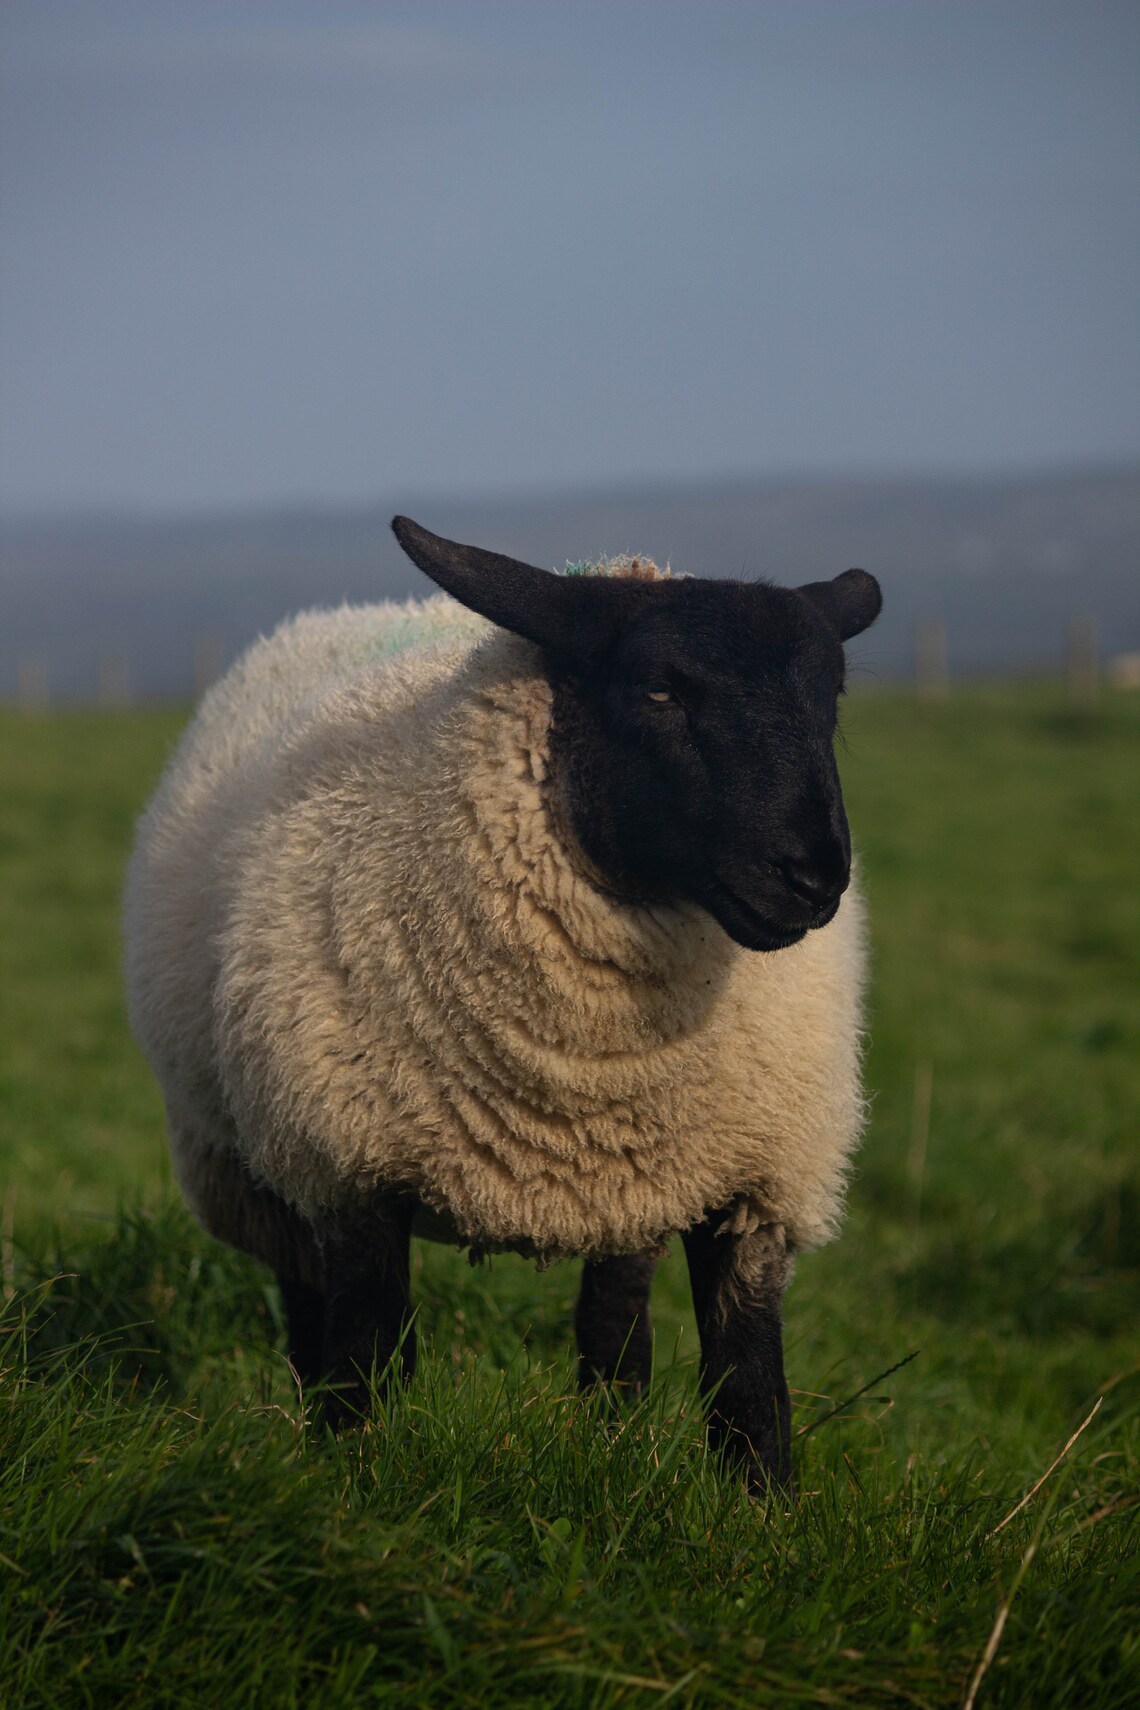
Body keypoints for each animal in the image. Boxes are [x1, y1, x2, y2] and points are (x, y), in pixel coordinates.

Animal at [124, 516, 882, 1489]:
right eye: (659, 689)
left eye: (830, 697)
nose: (814, 876)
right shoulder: (351, 1168)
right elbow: (364, 1355)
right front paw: (351, 1482)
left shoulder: (754, 1181)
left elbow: (750, 1389)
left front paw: (759, 1512)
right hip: (260, 1160)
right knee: (308, 1313)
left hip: (637, 1181)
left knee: (614, 1322)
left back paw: (611, 1439)